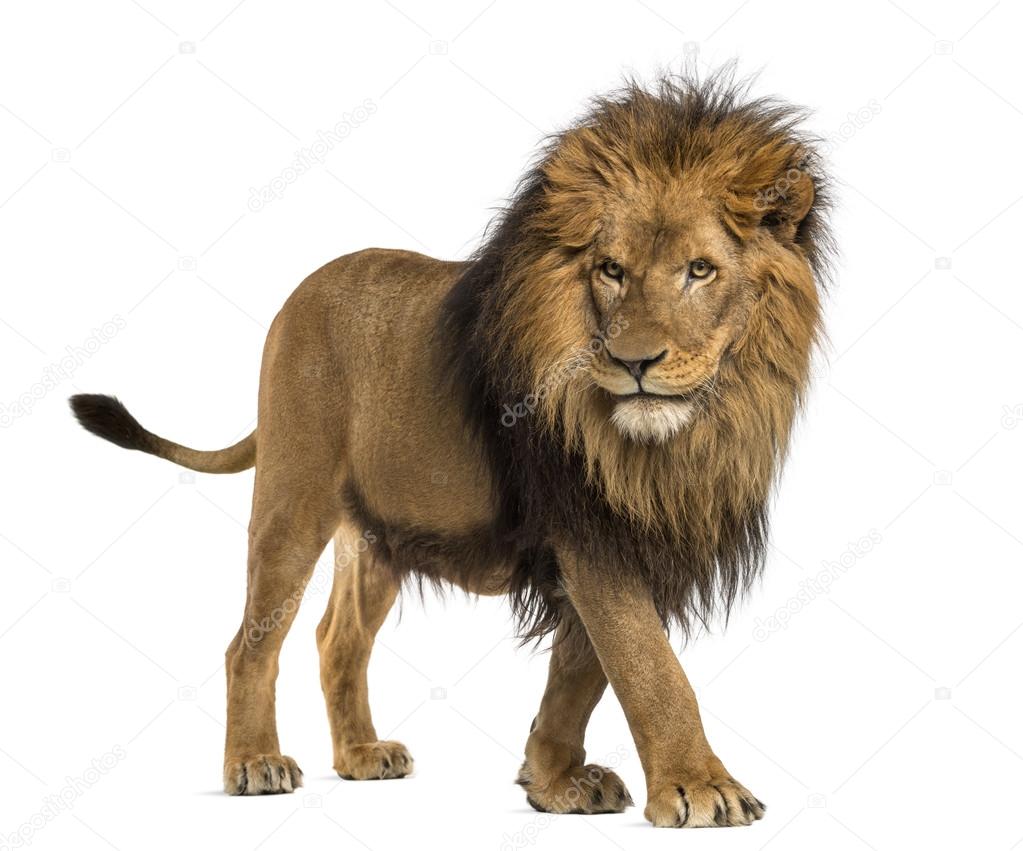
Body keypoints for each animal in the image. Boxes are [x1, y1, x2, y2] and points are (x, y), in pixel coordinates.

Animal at [69, 69, 830, 827]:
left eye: (700, 270)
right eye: (611, 270)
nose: (632, 361)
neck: (684, 434)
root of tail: (298, 295)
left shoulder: (627, 533)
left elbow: (580, 669)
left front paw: (552, 779)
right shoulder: (587, 527)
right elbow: (647, 665)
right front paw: (700, 788)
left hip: (380, 533)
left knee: (337, 639)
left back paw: (361, 754)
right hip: (293, 496)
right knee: (249, 642)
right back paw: (254, 763)